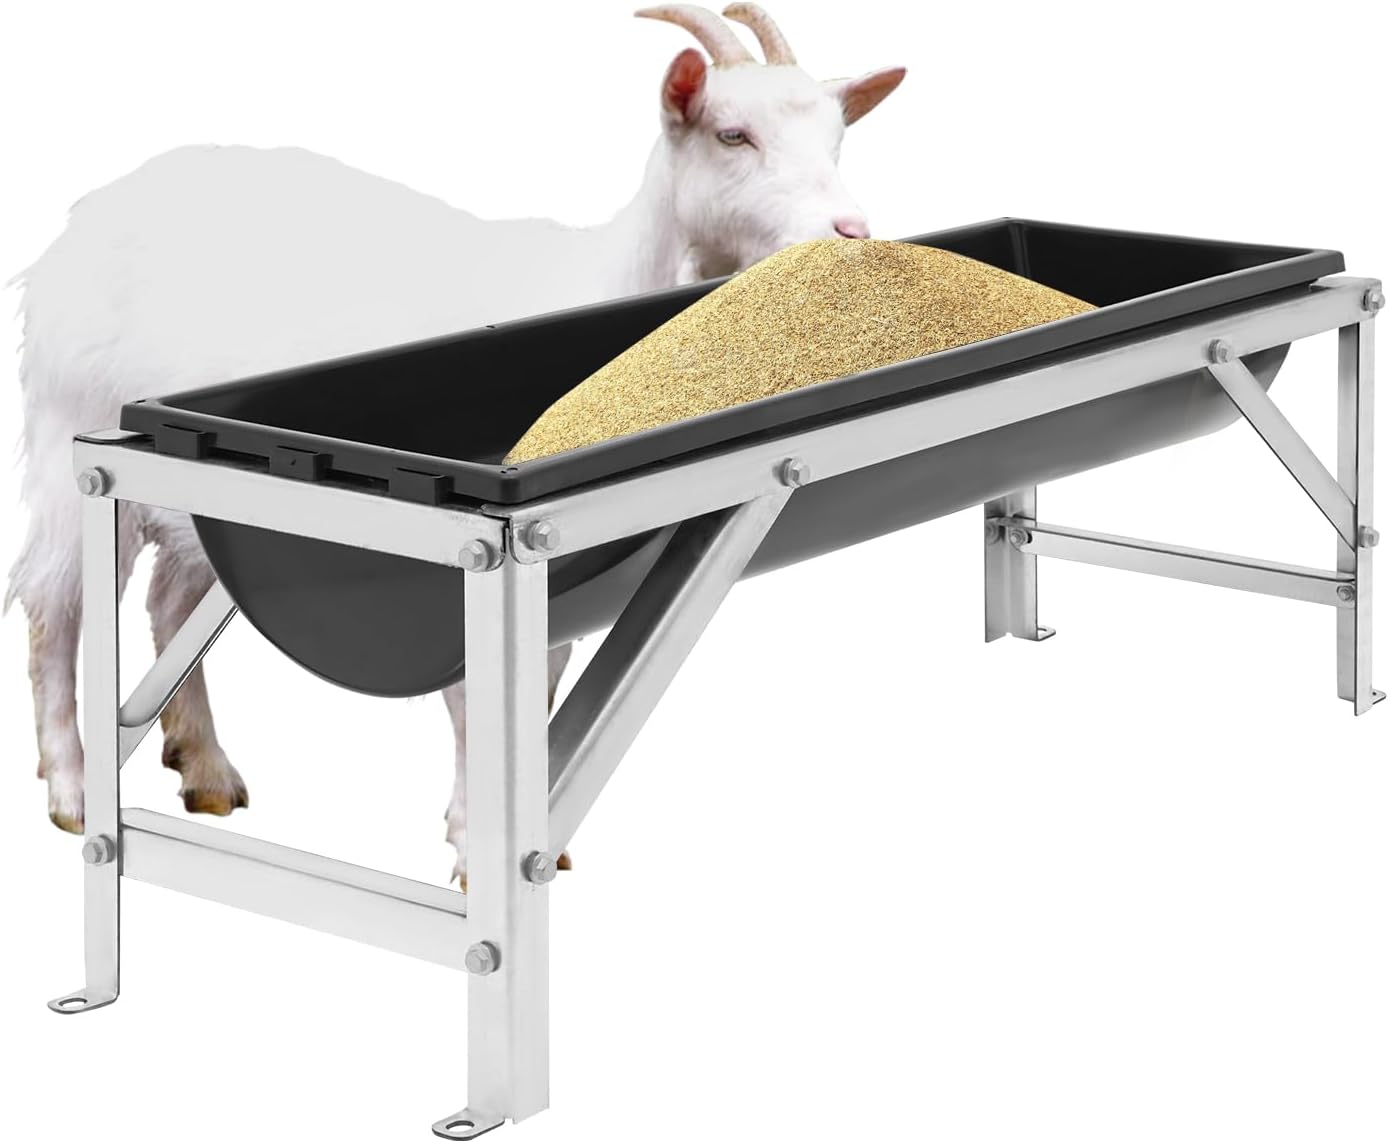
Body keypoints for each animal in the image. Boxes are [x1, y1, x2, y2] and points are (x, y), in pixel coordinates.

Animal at [8, 3, 905, 884]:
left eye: (836, 140)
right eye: (731, 134)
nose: (850, 236)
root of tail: (91, 212)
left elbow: (541, 683)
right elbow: (477, 703)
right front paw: (478, 846)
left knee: (166, 600)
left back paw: (205, 770)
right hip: (67, 433)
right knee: (55, 601)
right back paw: (74, 791)